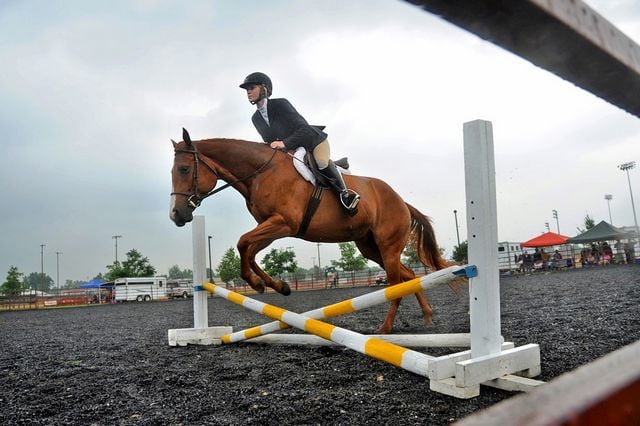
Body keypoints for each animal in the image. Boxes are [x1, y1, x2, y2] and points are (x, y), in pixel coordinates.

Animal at [170, 129, 448, 333]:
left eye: (184, 169)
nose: (176, 215)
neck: (261, 172)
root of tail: (401, 201)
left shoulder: (283, 223)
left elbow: (242, 243)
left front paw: (259, 283)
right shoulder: (271, 226)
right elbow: (248, 250)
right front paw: (276, 285)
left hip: (387, 246)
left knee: (396, 285)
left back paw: (385, 329)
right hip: (371, 248)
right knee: (409, 275)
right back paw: (427, 315)